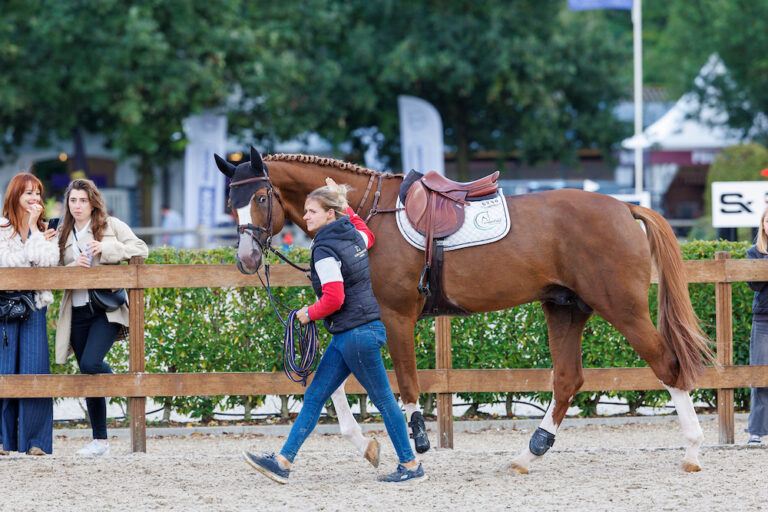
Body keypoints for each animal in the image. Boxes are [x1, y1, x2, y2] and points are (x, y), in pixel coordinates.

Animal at [215, 147, 714, 473]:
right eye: (229, 201)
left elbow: (403, 384)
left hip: (622, 309)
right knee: (568, 380)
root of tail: (626, 207)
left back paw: (692, 451)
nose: (246, 259)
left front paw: (414, 444)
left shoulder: (394, 318)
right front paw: (365, 446)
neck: (363, 215)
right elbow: (331, 385)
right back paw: (528, 453)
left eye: (260, 197)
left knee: (667, 365)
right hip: (565, 309)